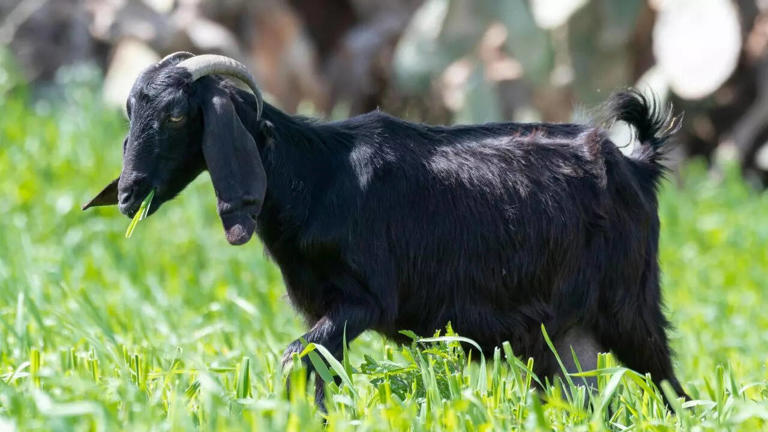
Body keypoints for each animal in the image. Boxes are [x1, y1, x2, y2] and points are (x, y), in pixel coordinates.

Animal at [83, 52, 689, 406]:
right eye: (131, 110)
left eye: (177, 115)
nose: (129, 194)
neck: (313, 175)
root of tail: (637, 163)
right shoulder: (327, 308)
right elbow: (318, 369)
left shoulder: (365, 300)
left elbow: (297, 357)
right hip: (559, 331)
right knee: (581, 392)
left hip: (630, 304)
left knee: (666, 383)